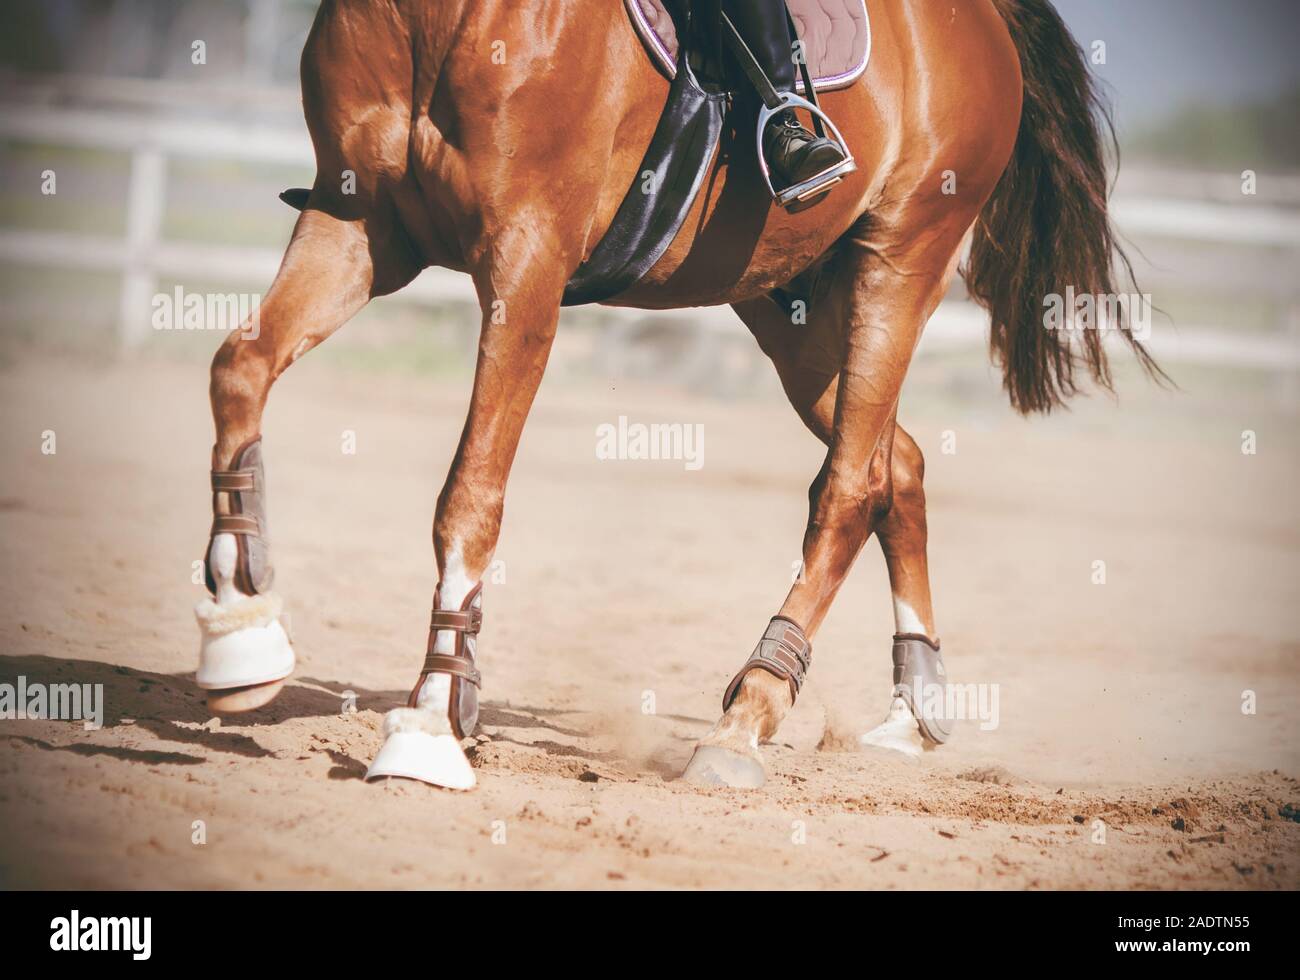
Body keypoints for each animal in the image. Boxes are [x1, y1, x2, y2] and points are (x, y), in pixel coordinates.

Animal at [195, 0, 1158, 790]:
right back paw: (911, 710)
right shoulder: (359, 224)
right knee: (899, 465)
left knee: (850, 487)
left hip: (902, 261)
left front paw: (430, 720)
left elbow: (470, 497)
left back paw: (747, 719)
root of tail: (985, 19)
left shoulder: (527, 266)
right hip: (788, 301)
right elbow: (239, 366)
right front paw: (241, 631)